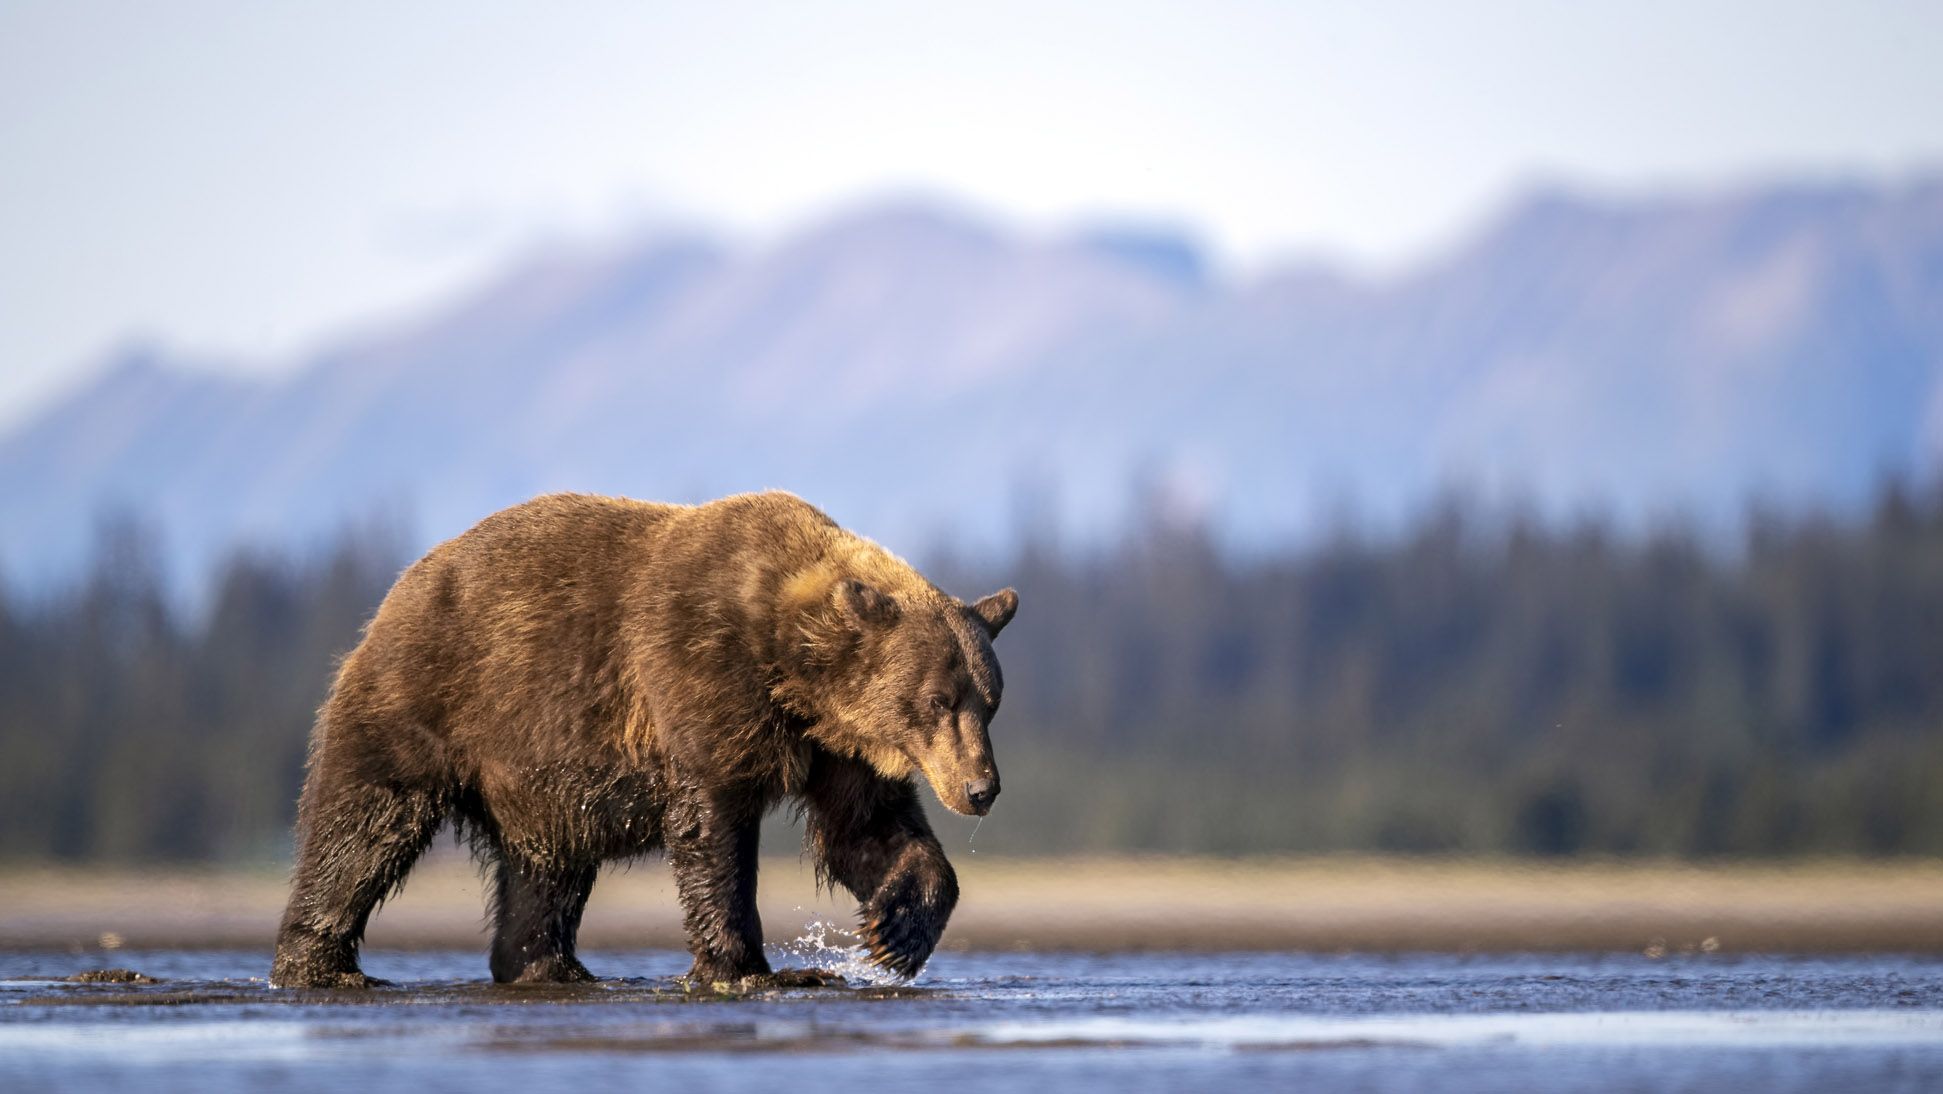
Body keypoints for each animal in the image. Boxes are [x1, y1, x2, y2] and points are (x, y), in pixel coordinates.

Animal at [269, 491, 1016, 988]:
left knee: (547, 867)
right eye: (937, 699)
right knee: (363, 826)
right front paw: (746, 967)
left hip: (540, 776)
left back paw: (547, 966)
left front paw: (893, 931)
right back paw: (321, 966)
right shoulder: (700, 676)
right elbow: (712, 828)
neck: (790, 669)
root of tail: (403, 585)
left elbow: (866, 829)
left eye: (989, 701)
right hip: (431, 698)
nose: (981, 788)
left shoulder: (837, 745)